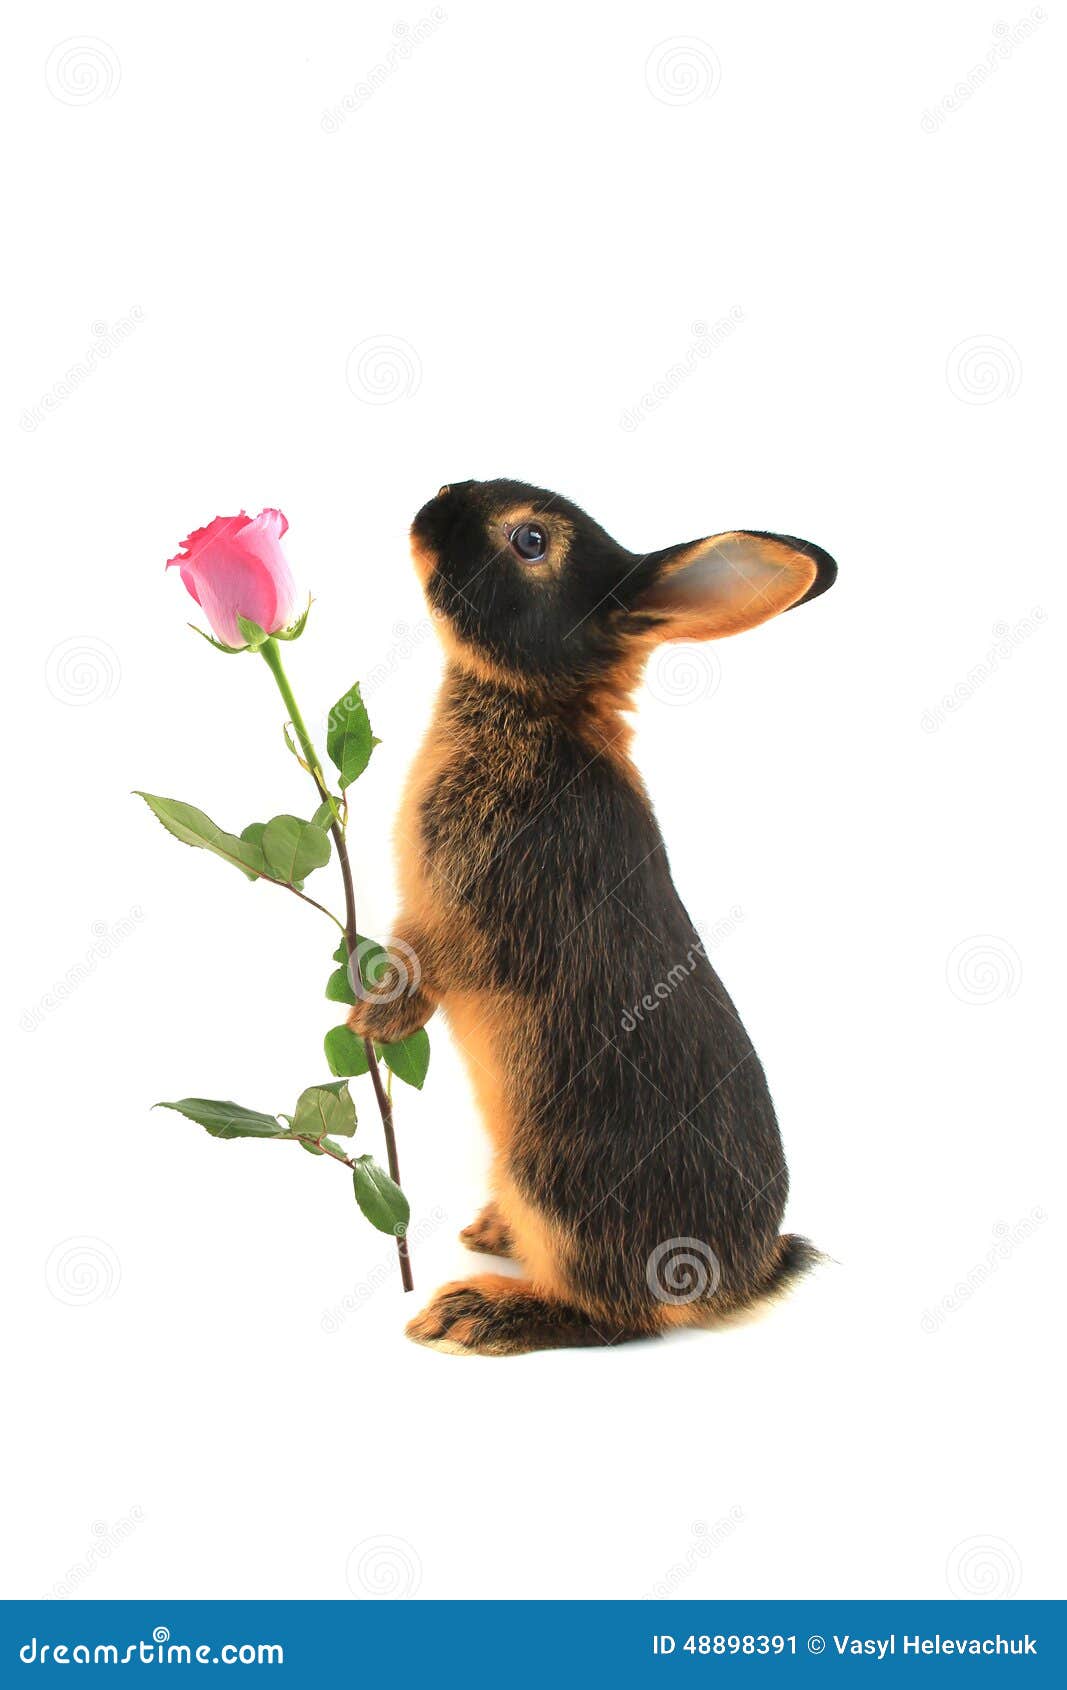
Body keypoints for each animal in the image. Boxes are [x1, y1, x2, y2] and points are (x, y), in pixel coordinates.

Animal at [347, 479, 836, 1355]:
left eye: (532, 541)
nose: (435, 502)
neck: (535, 709)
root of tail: (738, 1277)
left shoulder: (482, 906)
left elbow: (429, 960)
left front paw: (372, 1020)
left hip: (562, 1182)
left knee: (614, 1313)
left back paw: (475, 1311)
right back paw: (492, 1236)